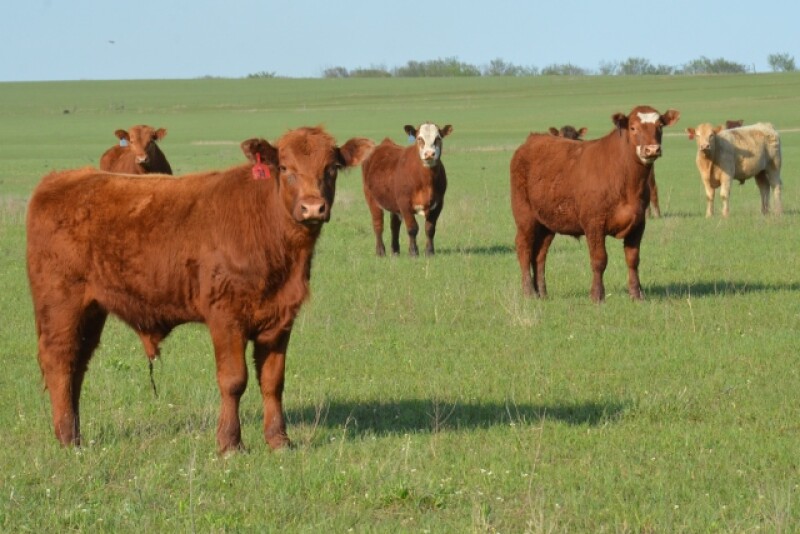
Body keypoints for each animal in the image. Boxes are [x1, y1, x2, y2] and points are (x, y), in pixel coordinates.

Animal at [26, 126, 374, 453]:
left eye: (331, 167)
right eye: (285, 167)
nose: (313, 208)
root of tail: (61, 178)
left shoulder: (279, 319)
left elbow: (273, 381)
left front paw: (279, 440)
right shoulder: (225, 317)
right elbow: (234, 380)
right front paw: (230, 443)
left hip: (92, 309)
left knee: (77, 364)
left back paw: (75, 433)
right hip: (61, 304)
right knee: (60, 360)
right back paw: (67, 438)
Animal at [361, 122, 452, 256]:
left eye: (438, 138)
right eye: (419, 138)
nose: (429, 154)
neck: (426, 182)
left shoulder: (438, 203)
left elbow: (430, 229)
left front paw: (429, 251)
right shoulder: (404, 203)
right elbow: (412, 228)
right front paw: (413, 252)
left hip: (393, 203)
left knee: (394, 226)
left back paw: (395, 251)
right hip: (371, 198)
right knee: (378, 224)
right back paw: (380, 251)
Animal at [510, 105, 680, 302]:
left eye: (660, 125)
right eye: (633, 127)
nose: (652, 149)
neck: (627, 180)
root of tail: (533, 139)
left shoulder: (638, 223)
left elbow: (633, 259)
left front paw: (636, 294)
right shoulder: (594, 223)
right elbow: (599, 260)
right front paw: (597, 295)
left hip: (547, 222)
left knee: (539, 254)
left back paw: (542, 293)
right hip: (525, 216)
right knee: (524, 248)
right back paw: (529, 292)